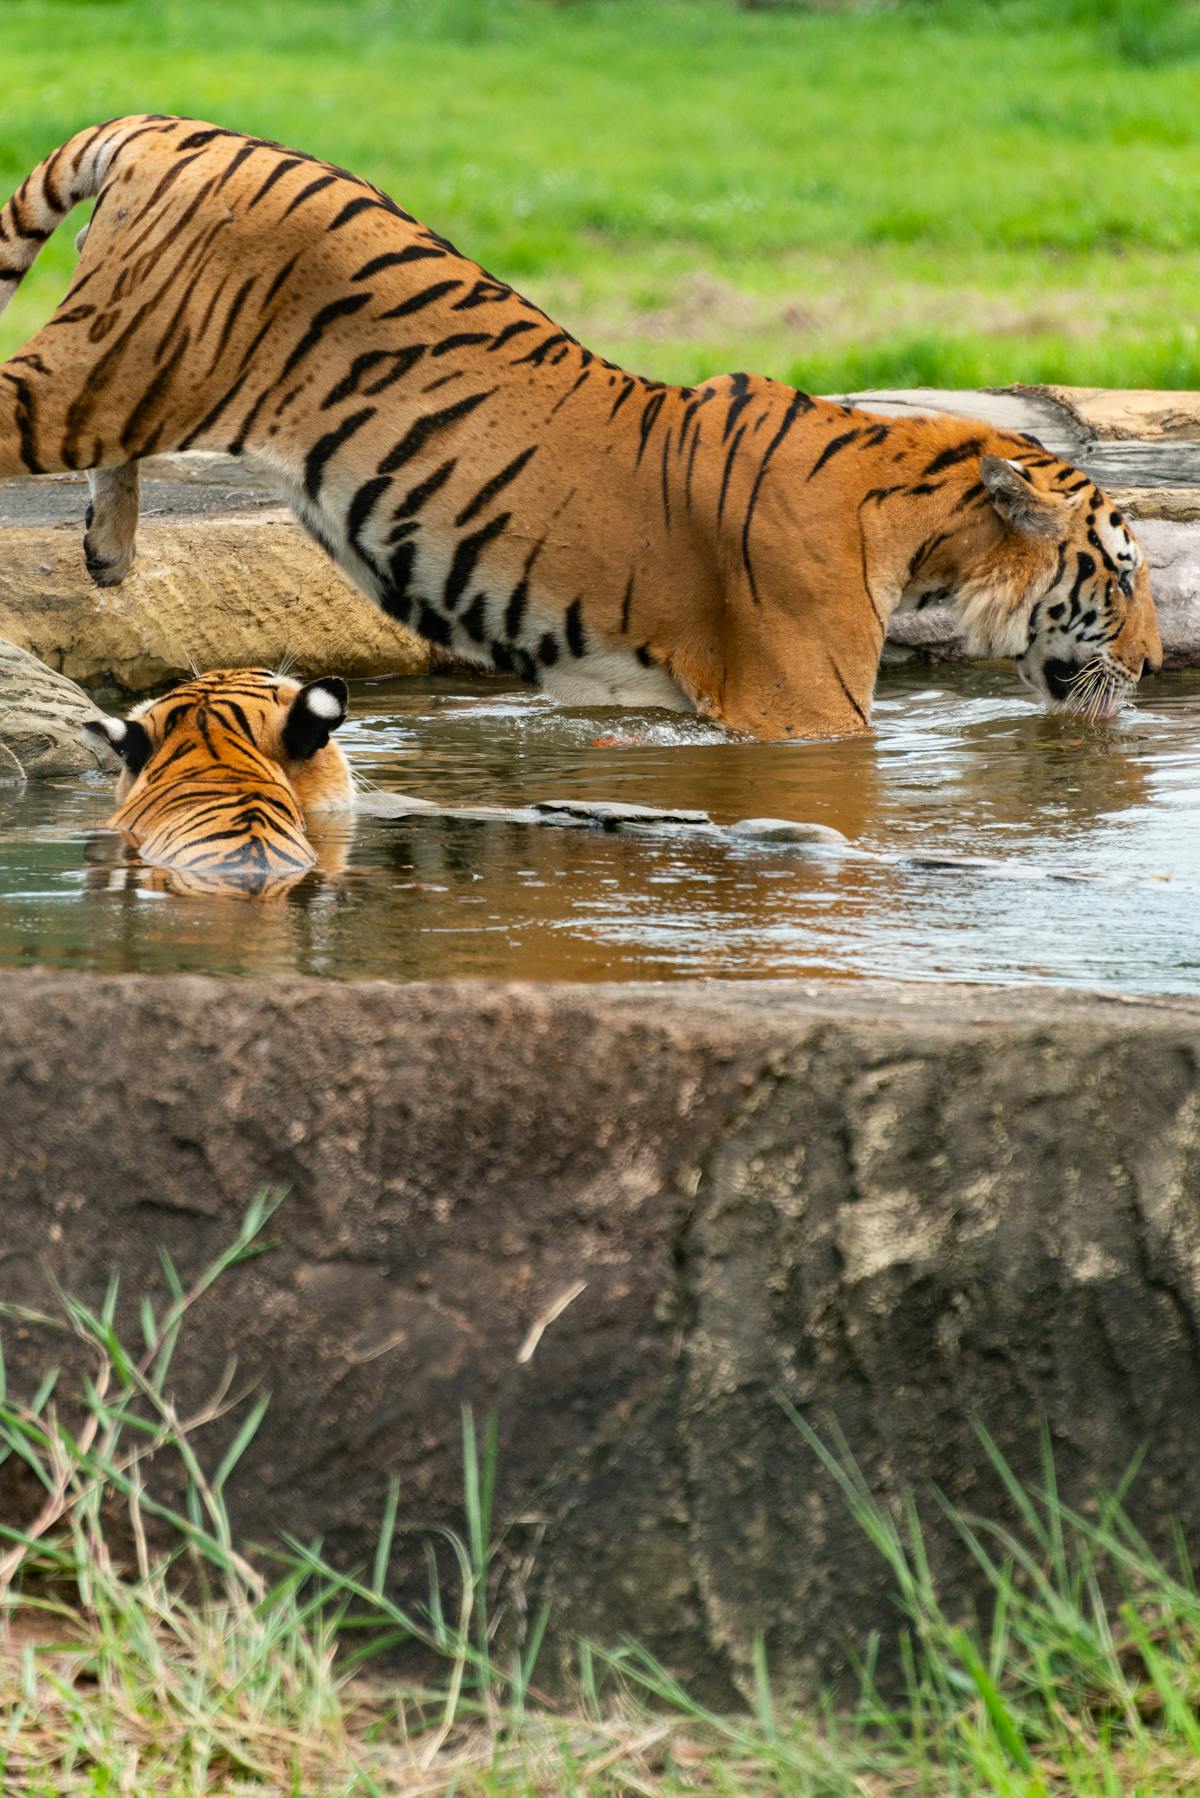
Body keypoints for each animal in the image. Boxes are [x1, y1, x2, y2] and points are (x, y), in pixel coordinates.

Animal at [0, 115, 1162, 740]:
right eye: (1120, 576)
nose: (1154, 667)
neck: (921, 531)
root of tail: (170, 129)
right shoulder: (803, 712)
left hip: (117, 374)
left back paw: (108, 551)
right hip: (100, 375)